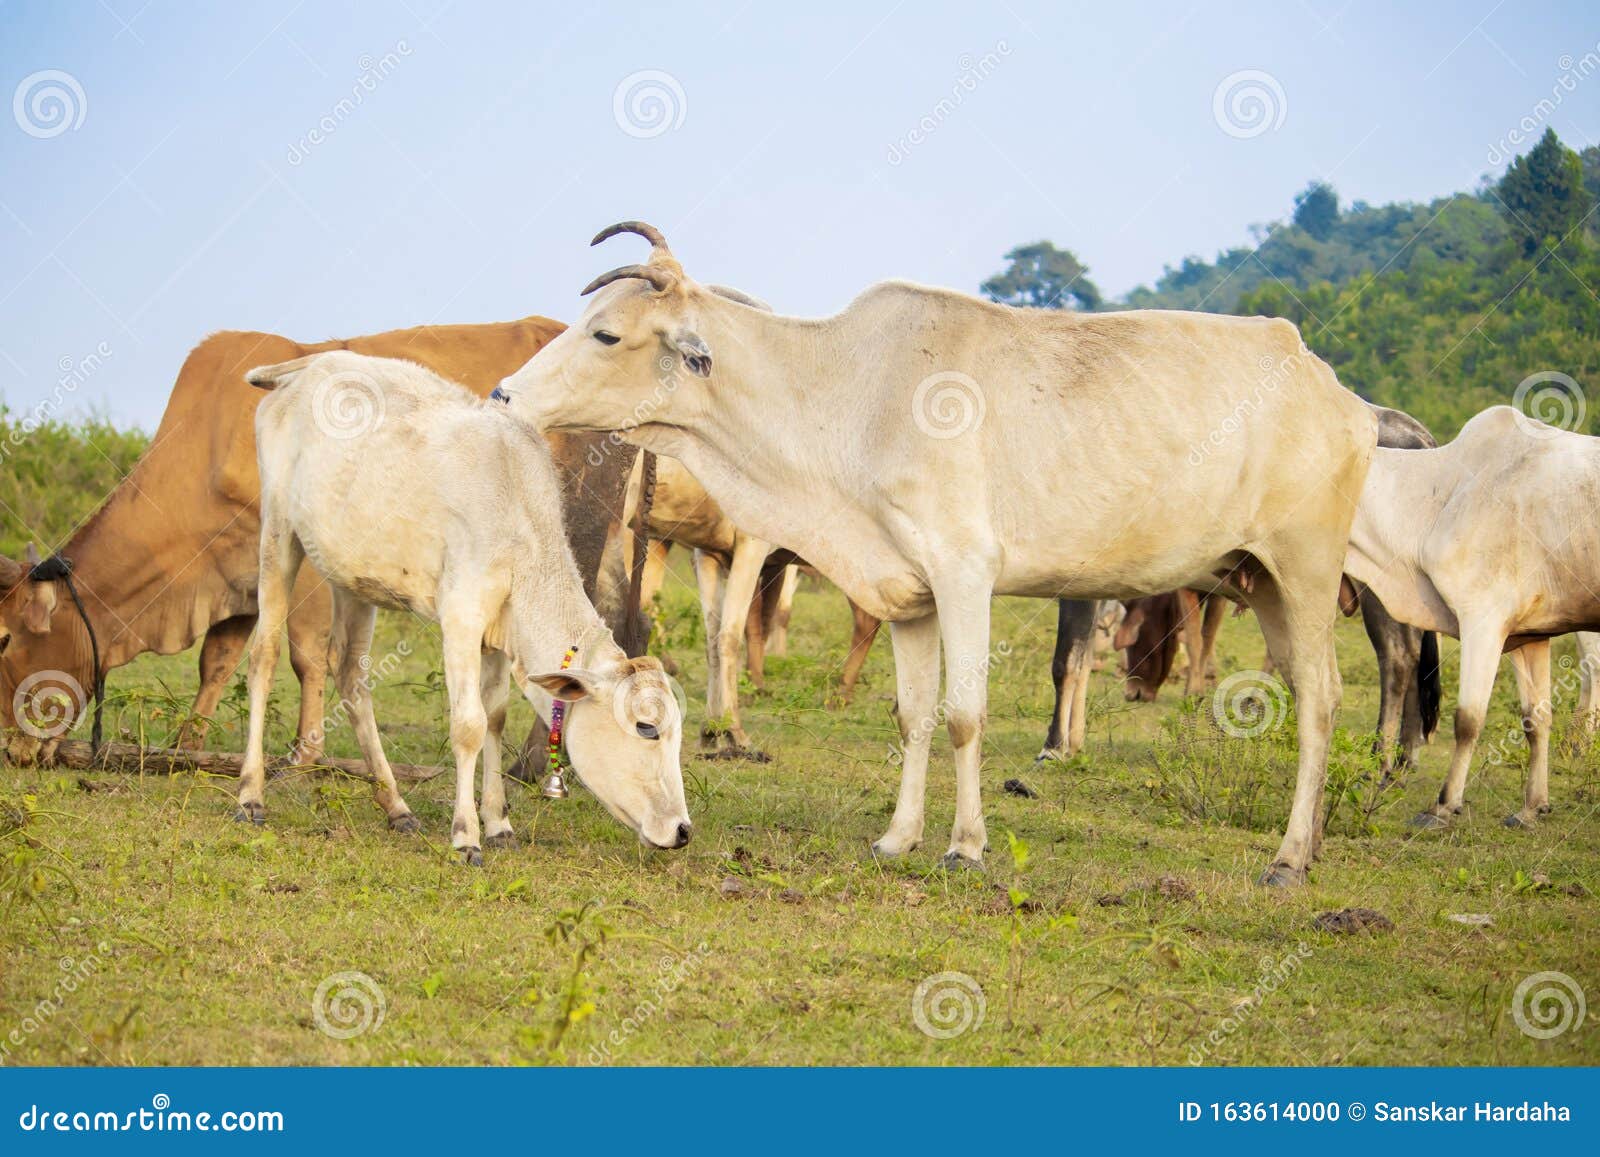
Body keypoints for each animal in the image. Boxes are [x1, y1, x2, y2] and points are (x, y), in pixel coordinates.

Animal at [0, 319, 639, 773]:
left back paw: (534, 765)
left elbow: (307, 656)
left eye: (5, 638)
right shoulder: (237, 575)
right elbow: (216, 661)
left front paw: (304, 751)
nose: (12, 751)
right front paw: (188, 744)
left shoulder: (303, 559)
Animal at [242, 352, 691, 863]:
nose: (682, 830)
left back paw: (396, 806)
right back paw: (250, 795)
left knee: (350, 672)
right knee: (263, 655)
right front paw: (466, 834)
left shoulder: (498, 633)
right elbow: (469, 725)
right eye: (646, 727)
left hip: (351, 577)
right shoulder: (460, 617)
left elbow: (495, 717)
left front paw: (498, 823)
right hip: (277, 533)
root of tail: (311, 364)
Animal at [495, 221, 1379, 885]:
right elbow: (913, 713)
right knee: (1314, 693)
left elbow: (963, 714)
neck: (847, 396)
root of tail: (1333, 387)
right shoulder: (908, 592)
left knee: (1322, 699)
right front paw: (898, 836)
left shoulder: (964, 572)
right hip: (1260, 581)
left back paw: (1289, 857)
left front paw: (966, 845)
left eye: (607, 332)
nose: (504, 393)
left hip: (1305, 570)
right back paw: (1309, 844)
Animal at [1343, 404, 1600, 829]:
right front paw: (1532, 807)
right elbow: (1536, 719)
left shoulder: (1483, 620)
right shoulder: (1529, 636)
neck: (1440, 496)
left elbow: (1467, 720)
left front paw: (1444, 805)